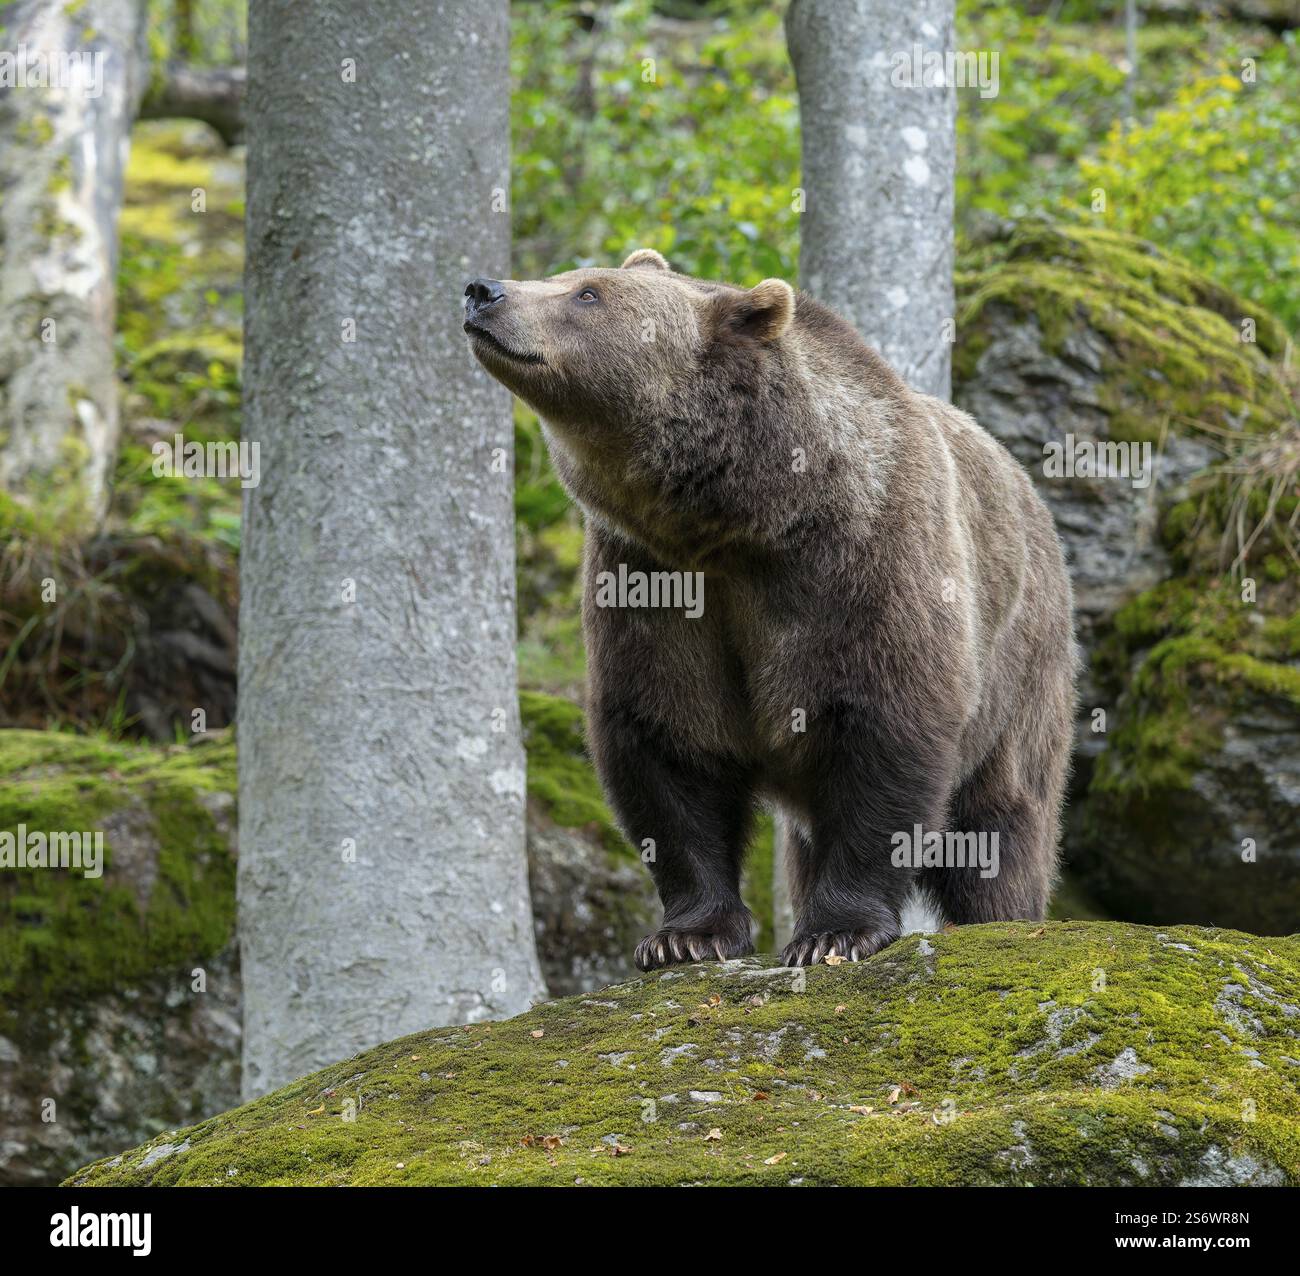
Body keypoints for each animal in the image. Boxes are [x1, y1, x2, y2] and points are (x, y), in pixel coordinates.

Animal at [464, 248, 1077, 969]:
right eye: (571, 278)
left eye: (589, 294)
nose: (483, 291)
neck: (746, 519)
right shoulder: (652, 581)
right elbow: (667, 739)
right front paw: (686, 936)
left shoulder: (865, 564)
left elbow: (885, 731)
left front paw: (833, 933)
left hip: (1023, 667)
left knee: (1003, 813)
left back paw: (1003, 916)